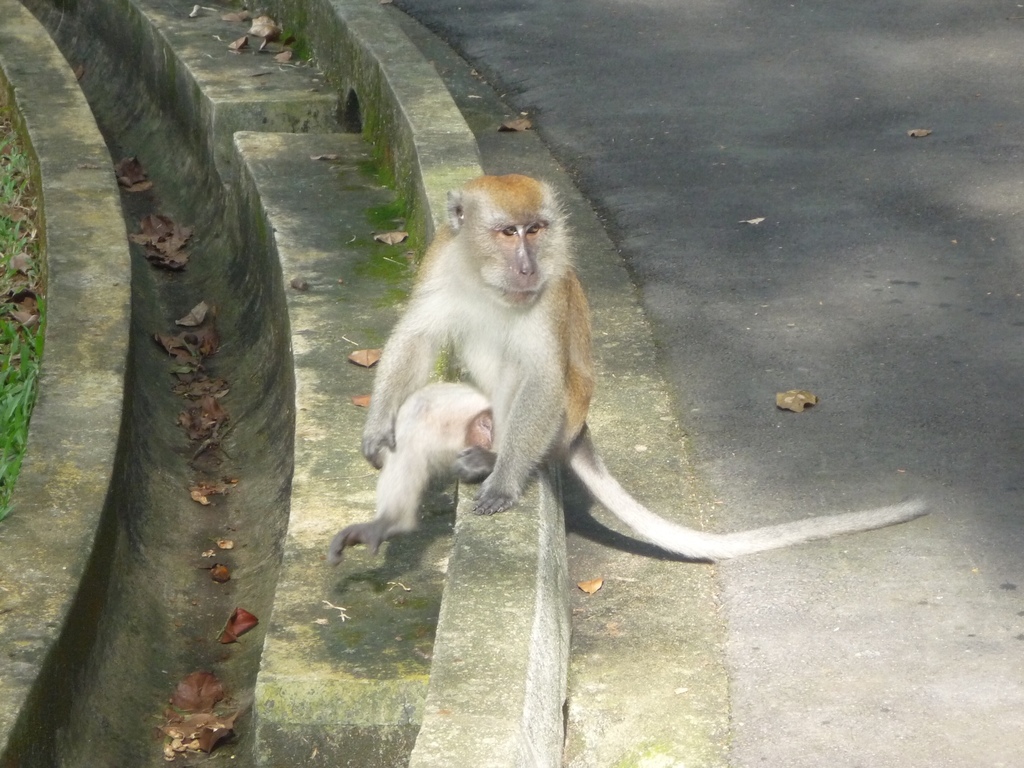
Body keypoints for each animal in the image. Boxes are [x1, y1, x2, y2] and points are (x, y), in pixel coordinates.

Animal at [329, 173, 926, 563]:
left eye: (537, 229)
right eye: (507, 232)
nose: (527, 265)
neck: (486, 278)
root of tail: (578, 432)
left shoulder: (550, 289)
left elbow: (543, 375)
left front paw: (502, 484)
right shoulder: (440, 259)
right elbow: (416, 337)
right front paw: (376, 430)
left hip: (545, 423)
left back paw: (495, 461)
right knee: (426, 407)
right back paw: (386, 523)